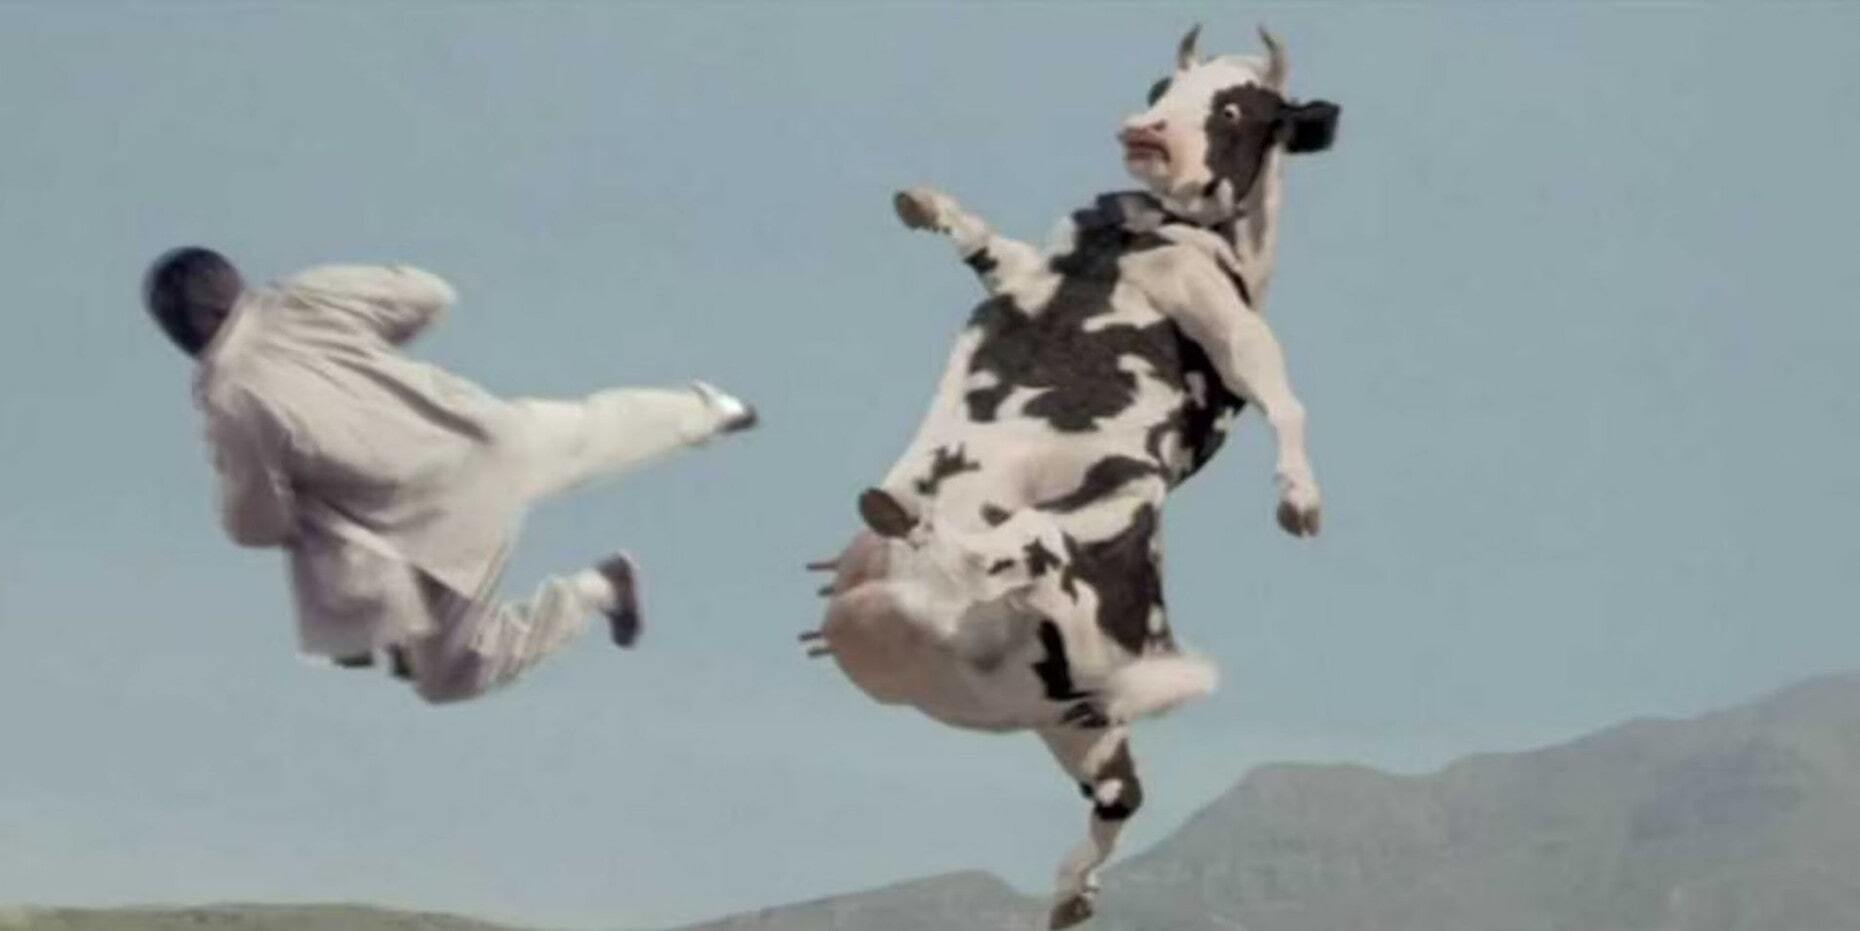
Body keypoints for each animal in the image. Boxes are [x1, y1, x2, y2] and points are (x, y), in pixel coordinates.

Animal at [802, 26, 1340, 929]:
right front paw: (925, 204)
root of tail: (919, 627)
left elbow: (1275, 385)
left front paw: (1300, 501)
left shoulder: (1202, 305)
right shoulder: (1049, 272)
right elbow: (991, 245)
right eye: (1161, 86)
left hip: (1086, 646)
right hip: (1066, 700)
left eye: (1236, 108)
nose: (1146, 132)